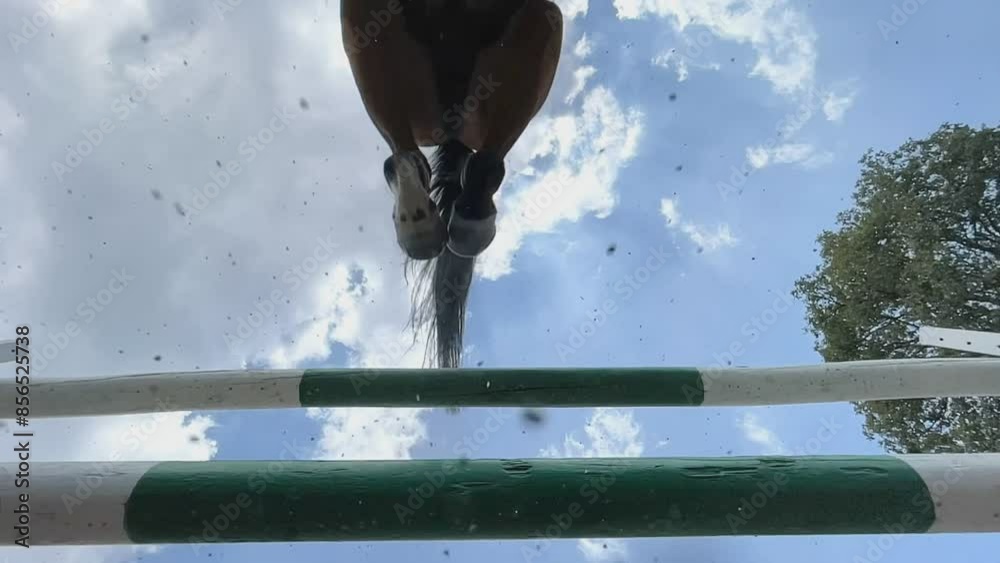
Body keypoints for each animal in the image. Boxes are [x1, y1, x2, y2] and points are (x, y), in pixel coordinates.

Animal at [342, 0, 563, 367]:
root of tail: (452, 129)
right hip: (427, 115)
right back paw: (419, 214)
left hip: (470, 115)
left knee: (544, 15)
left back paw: (457, 215)